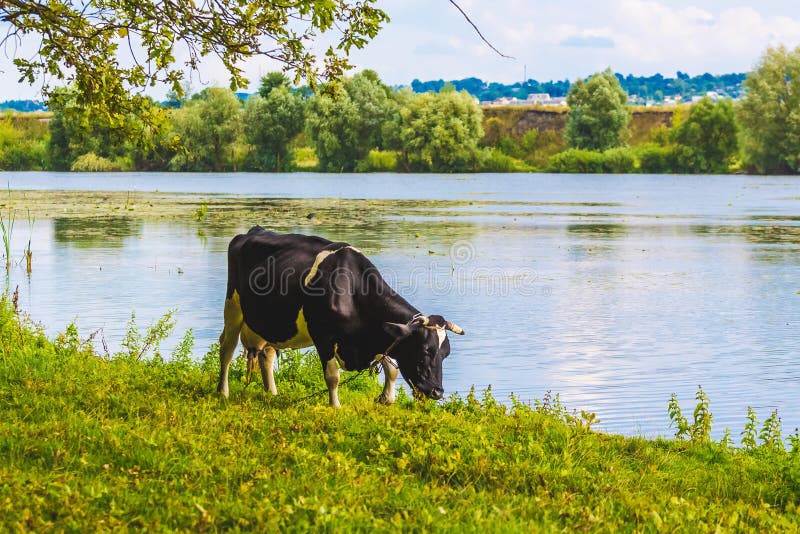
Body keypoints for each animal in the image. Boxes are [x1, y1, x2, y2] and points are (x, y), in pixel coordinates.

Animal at [217, 227, 465, 407]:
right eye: (425, 351)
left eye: (445, 354)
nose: (437, 391)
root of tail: (252, 232)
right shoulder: (323, 336)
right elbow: (332, 376)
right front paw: (335, 406)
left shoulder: (379, 336)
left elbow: (392, 368)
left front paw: (386, 398)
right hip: (233, 307)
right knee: (226, 348)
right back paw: (223, 391)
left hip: (270, 321)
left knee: (266, 353)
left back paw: (272, 393)